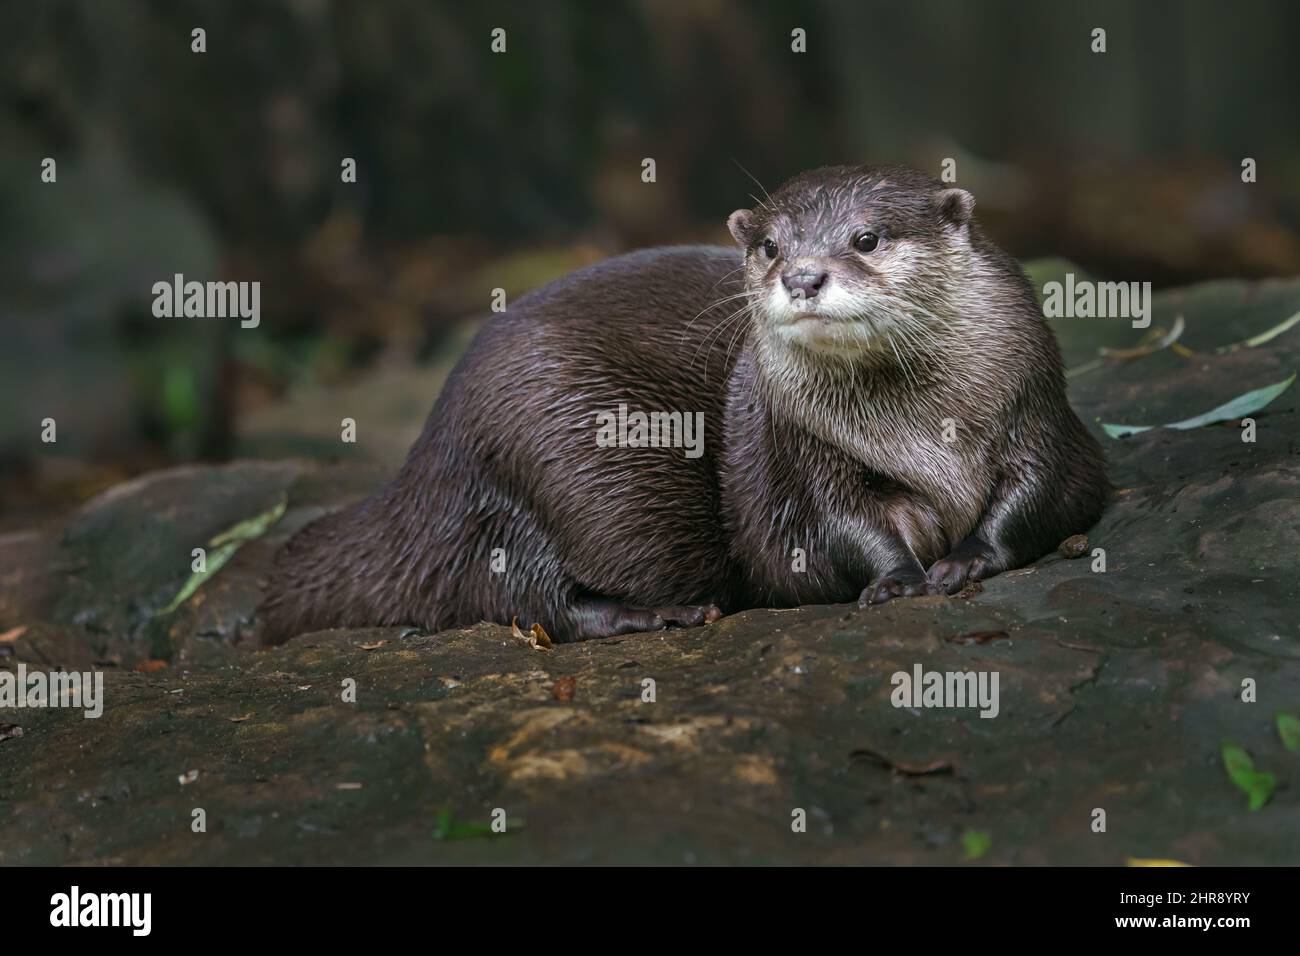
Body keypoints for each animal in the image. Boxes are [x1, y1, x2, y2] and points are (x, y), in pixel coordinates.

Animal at [259, 164, 1108, 644]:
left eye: (867, 238)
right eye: (769, 245)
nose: (802, 275)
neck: (925, 431)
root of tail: (426, 459)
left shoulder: (1037, 408)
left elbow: (1044, 493)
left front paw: (967, 555)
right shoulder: (800, 454)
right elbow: (830, 529)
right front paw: (898, 576)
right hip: (547, 455)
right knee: (530, 601)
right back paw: (658, 614)